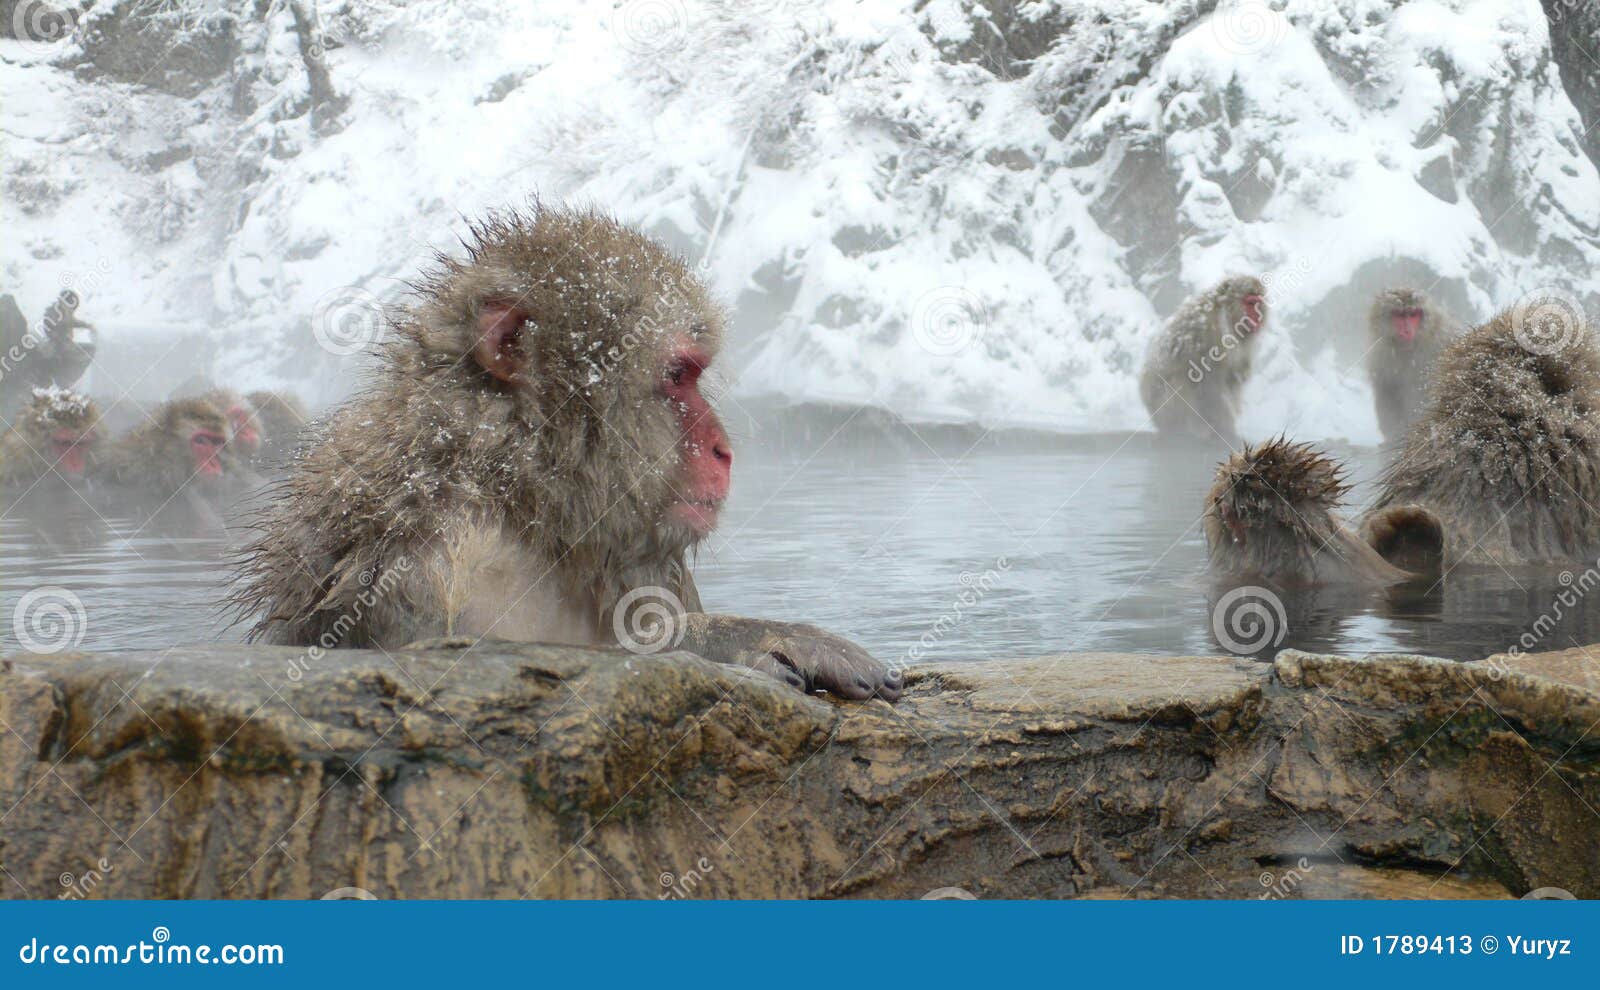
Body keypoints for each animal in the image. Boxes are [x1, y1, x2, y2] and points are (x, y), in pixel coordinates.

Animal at [232, 205, 902, 702]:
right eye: (677, 376)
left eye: (694, 374)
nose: (723, 449)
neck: (526, 504)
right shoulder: (432, 568)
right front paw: (752, 647)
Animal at [1139, 275, 1268, 445]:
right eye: (1251, 303)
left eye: (1259, 303)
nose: (1258, 316)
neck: (1226, 316)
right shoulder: (1212, 335)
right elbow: (1209, 384)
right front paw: (1226, 432)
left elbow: (1235, 376)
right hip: (1168, 412)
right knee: (1183, 382)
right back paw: (1191, 431)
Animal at [1365, 287, 1455, 444]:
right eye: (1399, 315)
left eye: (1413, 314)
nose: (1407, 330)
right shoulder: (1379, 355)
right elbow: (1387, 391)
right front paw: (1394, 435)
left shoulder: (1441, 342)